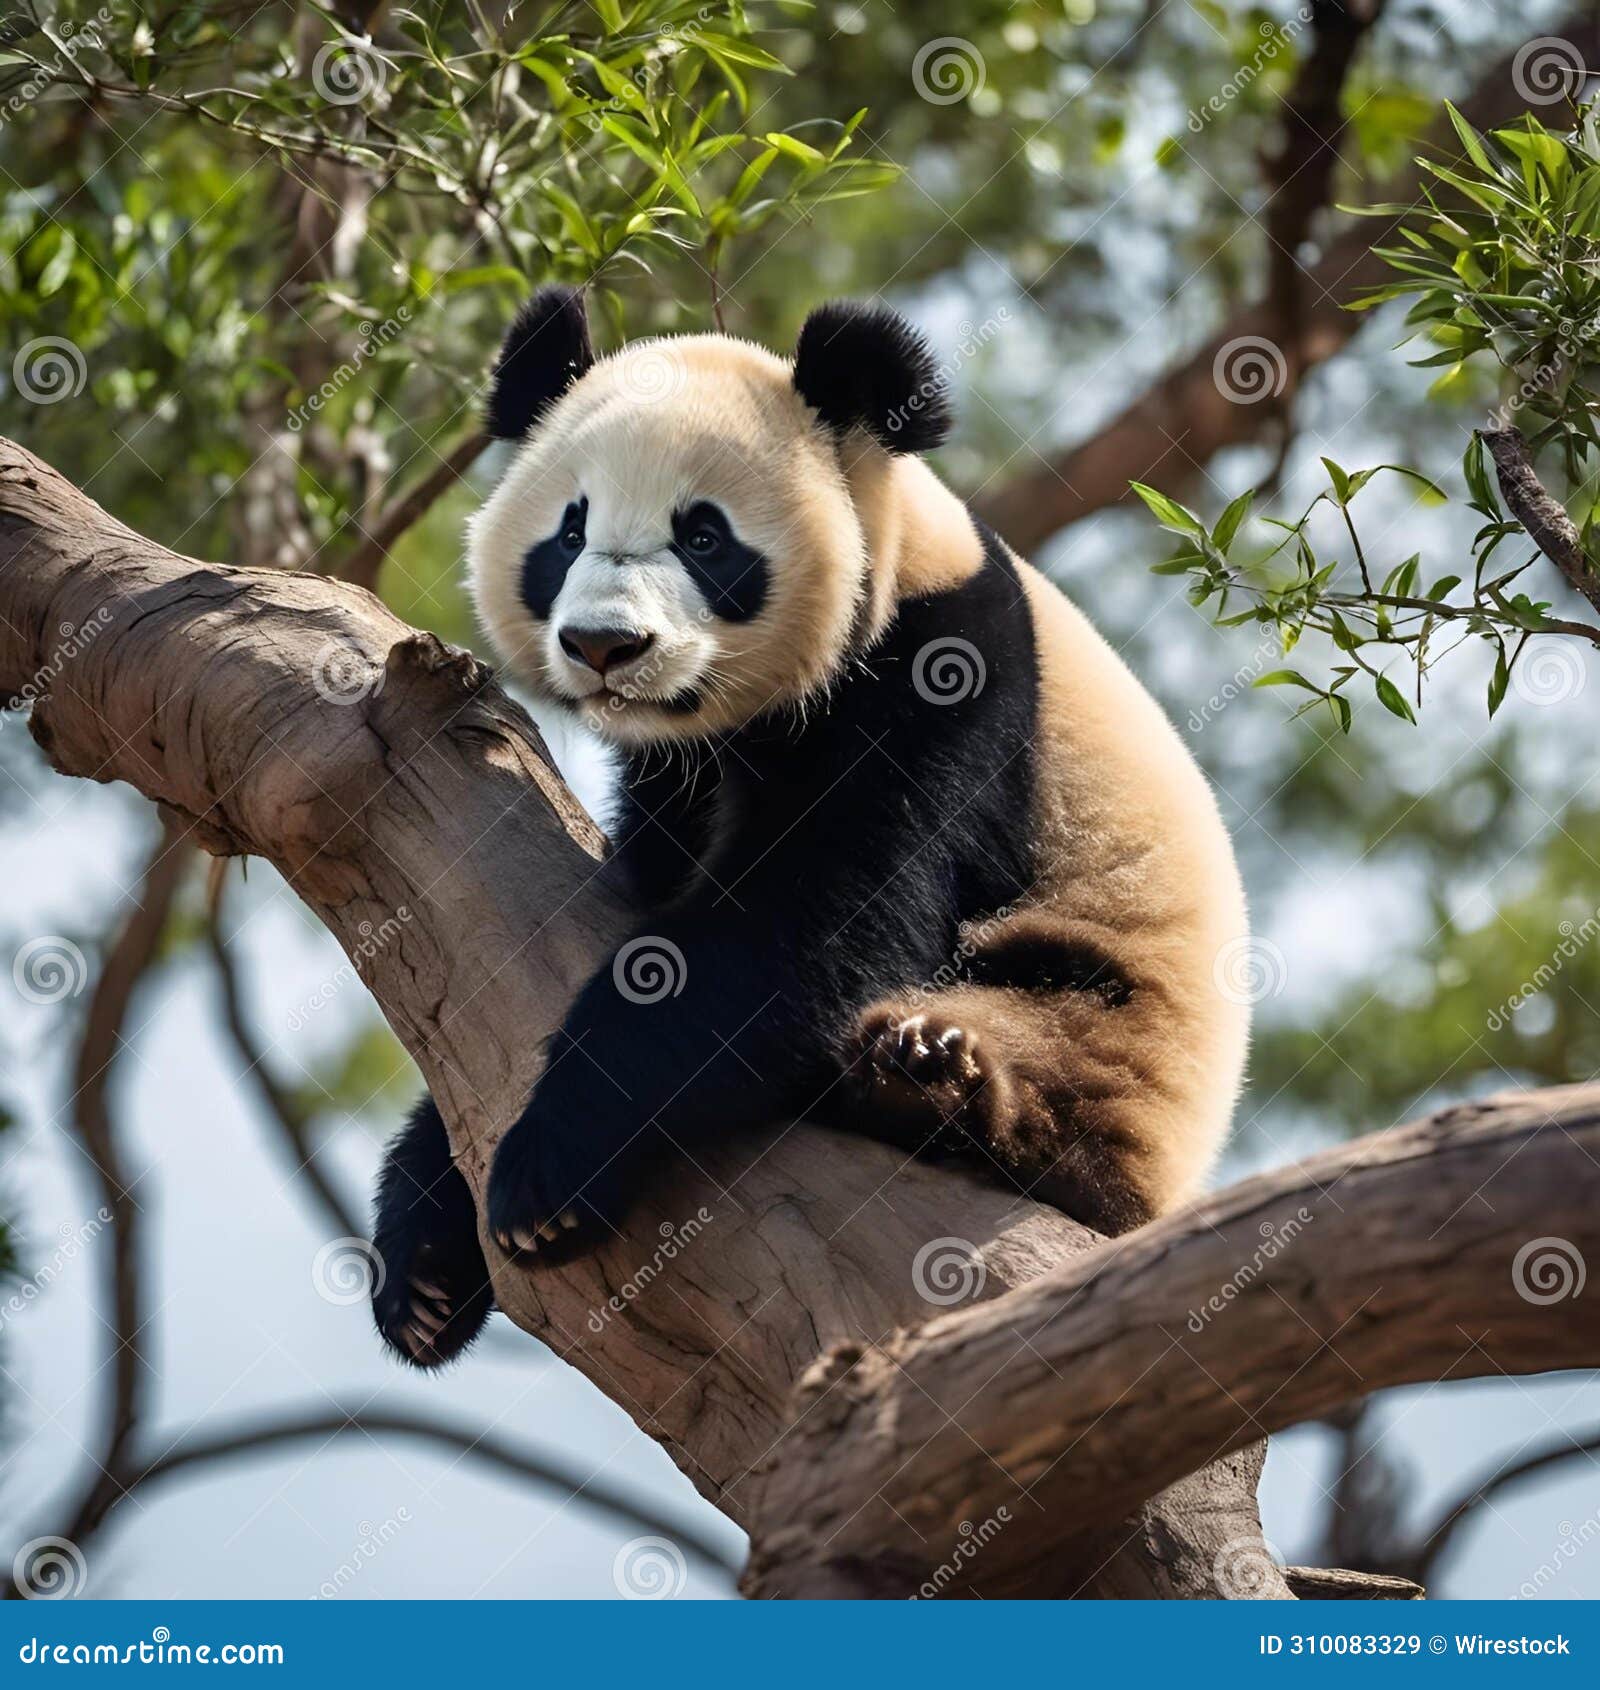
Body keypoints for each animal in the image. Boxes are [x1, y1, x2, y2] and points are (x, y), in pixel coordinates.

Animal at [371, 287, 1251, 1368]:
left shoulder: (943, 676)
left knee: (1049, 1042)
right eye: (568, 534)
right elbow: (649, 915)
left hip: (1123, 1025)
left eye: (704, 538)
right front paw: (423, 1257)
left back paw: (930, 1077)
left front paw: (548, 1172)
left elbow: (814, 930)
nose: (604, 646)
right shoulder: (675, 777)